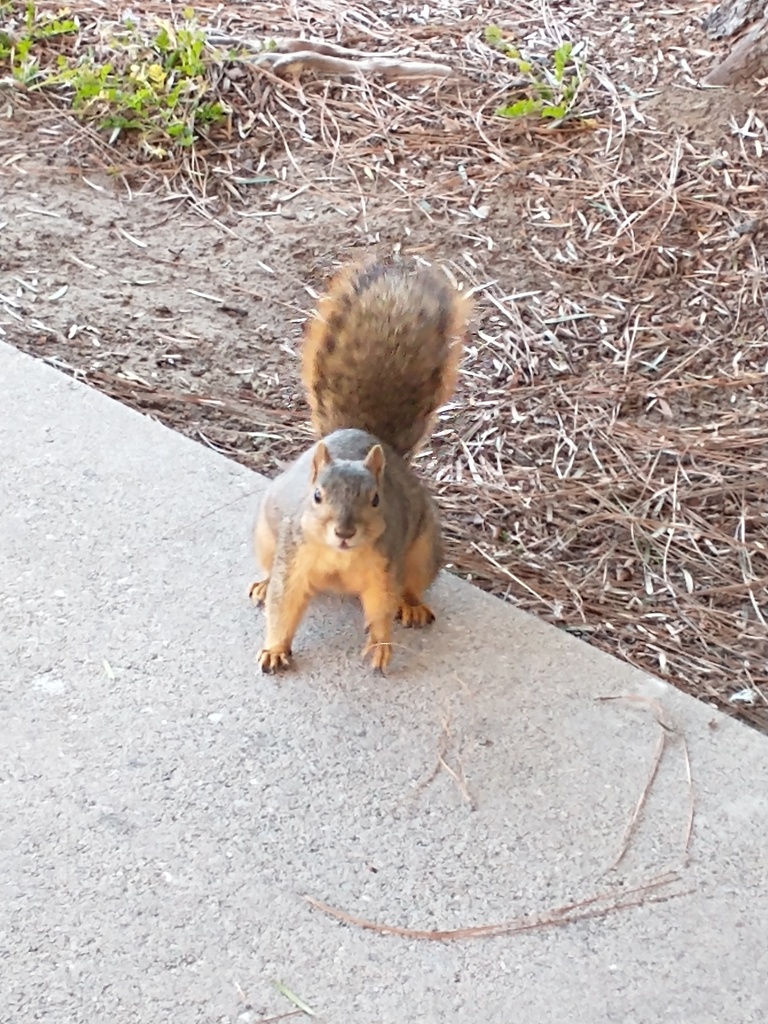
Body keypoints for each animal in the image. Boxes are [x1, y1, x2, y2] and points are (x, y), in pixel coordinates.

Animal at [249, 258, 472, 675]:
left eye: (376, 499)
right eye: (316, 495)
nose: (344, 532)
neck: (340, 557)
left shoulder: (384, 568)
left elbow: (382, 606)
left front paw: (381, 646)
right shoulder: (294, 561)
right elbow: (283, 605)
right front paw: (274, 648)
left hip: (422, 553)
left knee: (411, 585)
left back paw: (413, 606)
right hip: (267, 537)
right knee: (270, 571)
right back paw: (262, 583)